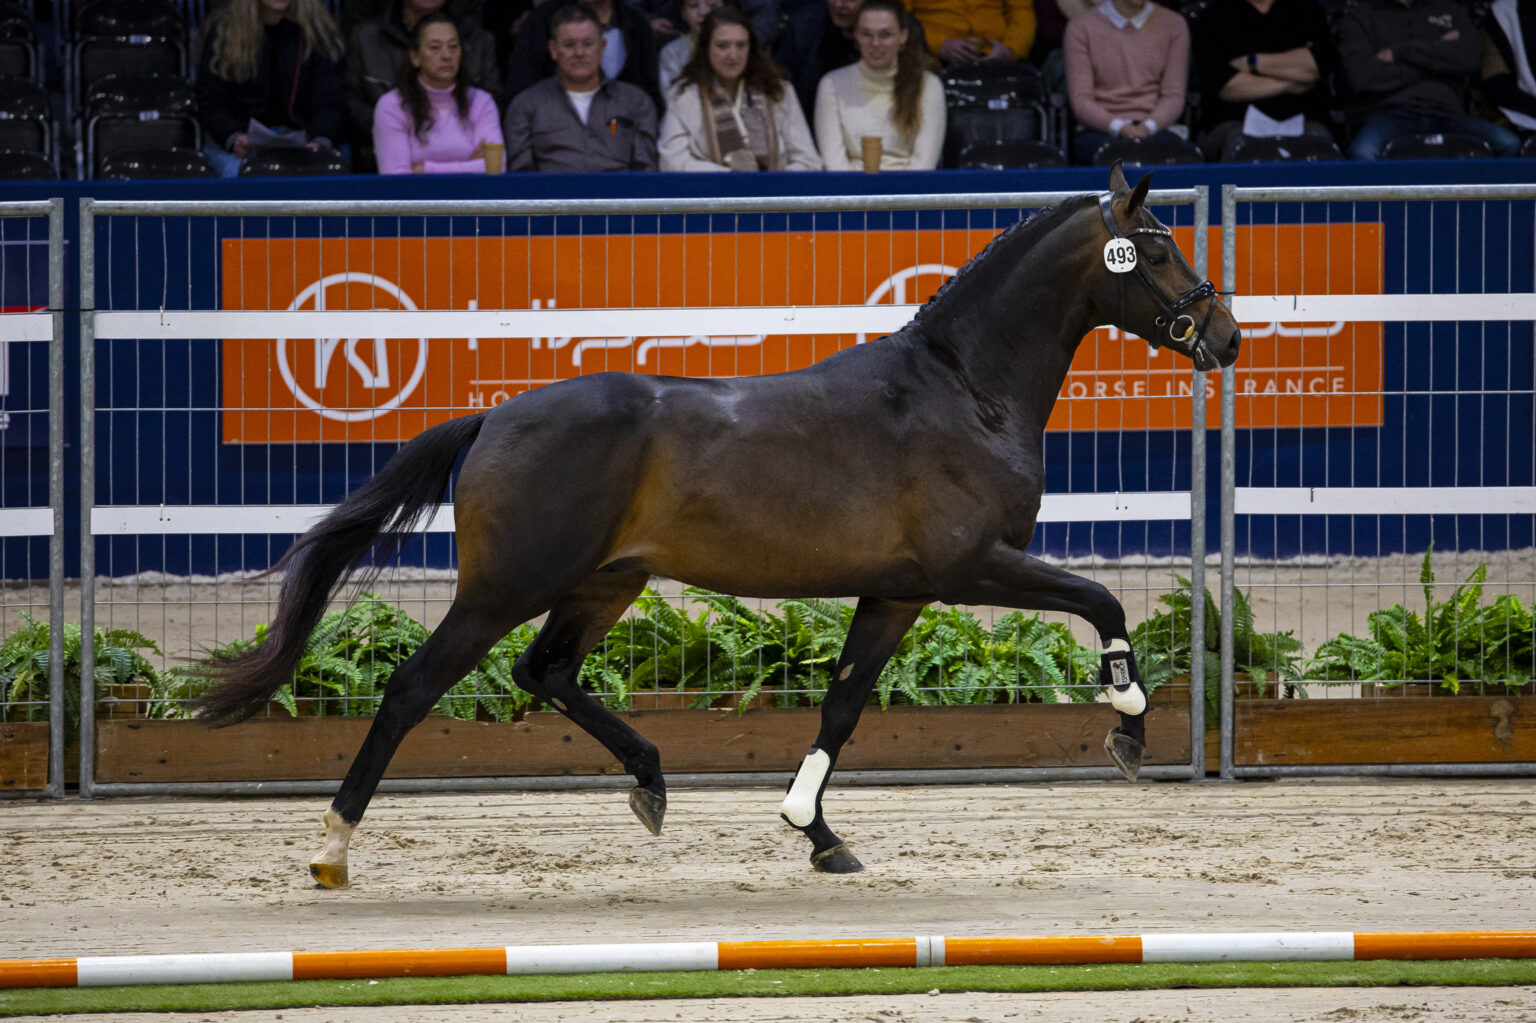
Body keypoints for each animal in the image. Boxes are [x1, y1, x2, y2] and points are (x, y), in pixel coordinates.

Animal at [199, 164, 1241, 888]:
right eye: (1155, 247)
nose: (1227, 337)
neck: (960, 389)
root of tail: (493, 418)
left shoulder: (898, 591)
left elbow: (842, 706)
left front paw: (816, 833)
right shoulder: (974, 565)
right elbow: (1102, 601)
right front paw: (1129, 725)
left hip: (604, 582)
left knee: (545, 672)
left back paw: (652, 780)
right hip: (506, 588)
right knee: (416, 688)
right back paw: (333, 850)